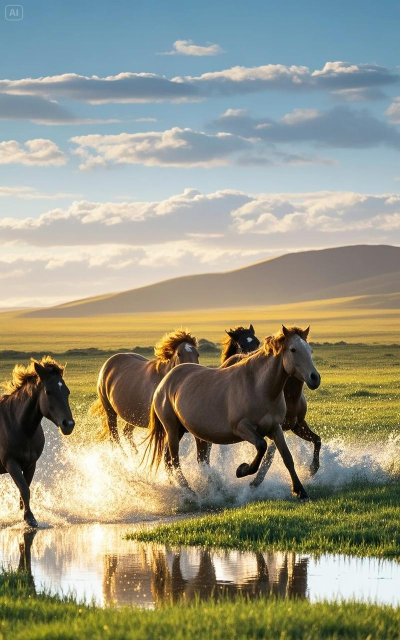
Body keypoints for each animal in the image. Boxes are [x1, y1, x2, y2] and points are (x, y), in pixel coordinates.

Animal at [0, 356, 75, 527]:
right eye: (48, 391)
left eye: (67, 391)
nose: (68, 424)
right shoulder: (11, 463)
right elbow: (24, 489)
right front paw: (30, 518)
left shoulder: (30, 464)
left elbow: (25, 489)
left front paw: (25, 514)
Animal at [146, 326, 320, 500]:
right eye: (293, 349)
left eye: (310, 350)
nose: (315, 378)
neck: (258, 387)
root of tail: (165, 381)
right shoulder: (242, 428)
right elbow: (261, 446)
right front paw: (242, 470)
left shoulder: (276, 428)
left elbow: (287, 457)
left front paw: (300, 490)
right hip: (172, 429)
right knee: (174, 461)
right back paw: (190, 493)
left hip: (191, 432)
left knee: (183, 460)